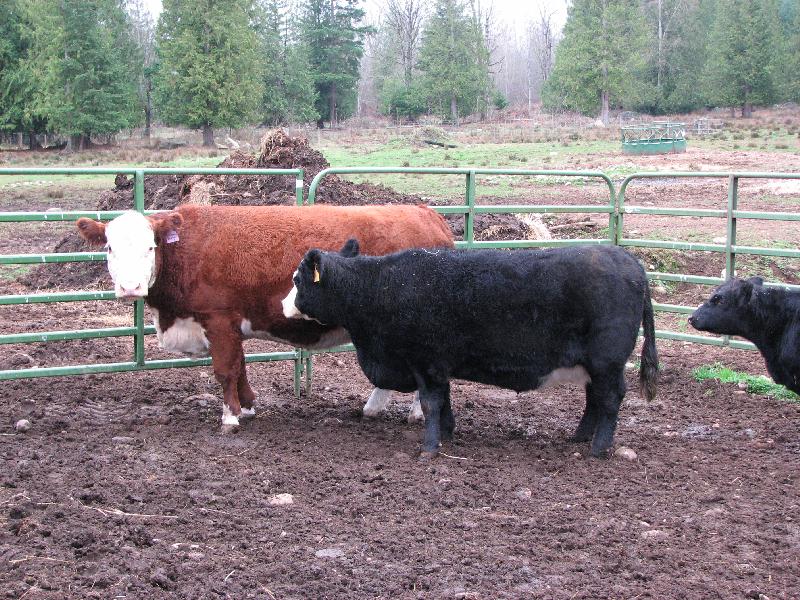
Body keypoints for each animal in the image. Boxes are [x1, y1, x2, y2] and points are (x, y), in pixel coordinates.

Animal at [76, 204, 454, 431]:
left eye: (150, 247)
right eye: (109, 247)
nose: (130, 287)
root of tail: (426, 213)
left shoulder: (218, 320)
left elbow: (224, 370)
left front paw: (229, 417)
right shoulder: (231, 326)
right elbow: (240, 367)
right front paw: (247, 408)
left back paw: (418, 412)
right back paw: (375, 408)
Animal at [282, 241, 659, 458]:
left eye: (297, 280)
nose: (284, 306)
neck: (380, 288)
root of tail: (629, 261)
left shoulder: (425, 362)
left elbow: (432, 404)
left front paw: (430, 449)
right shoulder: (438, 366)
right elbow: (444, 401)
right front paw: (448, 434)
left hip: (607, 362)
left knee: (609, 400)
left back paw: (598, 448)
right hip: (594, 365)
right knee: (594, 400)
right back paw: (579, 438)